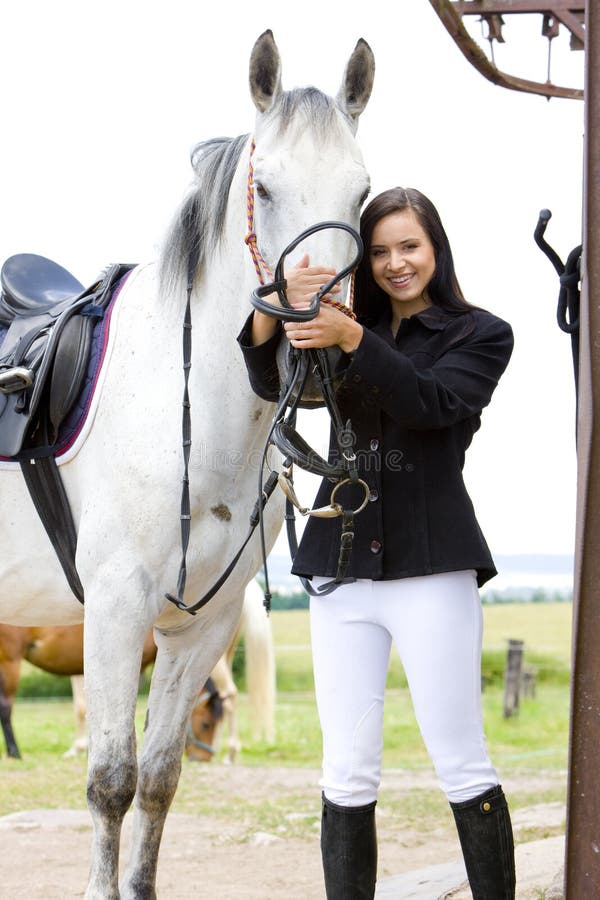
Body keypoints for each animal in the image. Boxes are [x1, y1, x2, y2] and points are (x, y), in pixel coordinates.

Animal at [0, 29, 373, 898]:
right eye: (264, 187)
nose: (326, 345)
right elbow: (111, 781)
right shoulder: (113, 611)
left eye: (364, 193)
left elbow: (162, 778)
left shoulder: (203, 623)